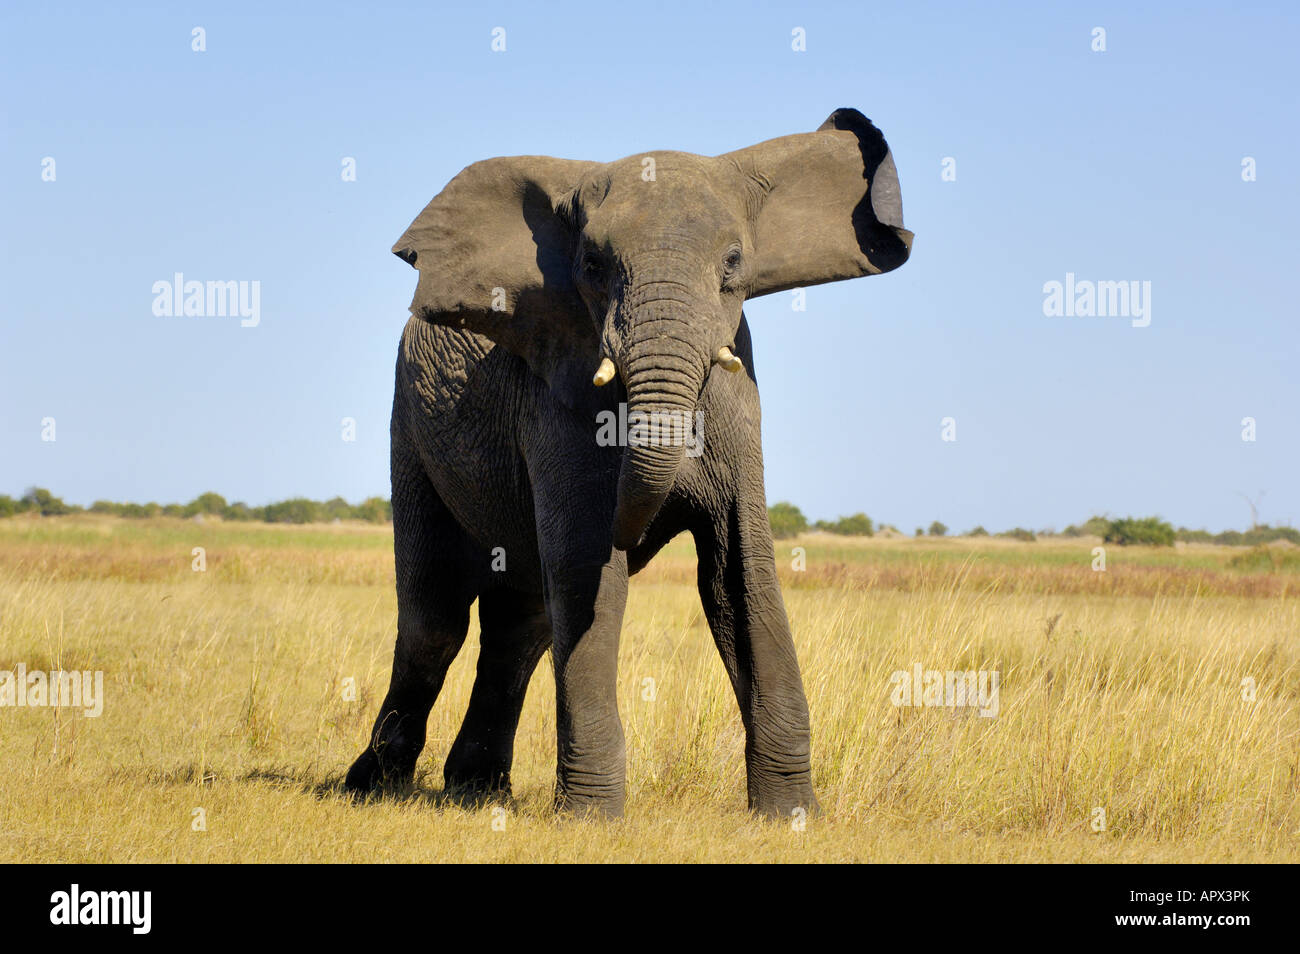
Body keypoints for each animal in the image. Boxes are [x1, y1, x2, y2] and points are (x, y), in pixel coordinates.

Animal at [344, 107, 912, 818]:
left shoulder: (740, 403)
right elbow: (588, 570)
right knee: (435, 619)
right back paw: (371, 785)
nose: (642, 523)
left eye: (734, 262)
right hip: (409, 431)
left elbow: (738, 574)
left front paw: (790, 816)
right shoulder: (557, 401)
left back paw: (477, 790)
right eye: (592, 263)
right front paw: (592, 820)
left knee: (522, 625)